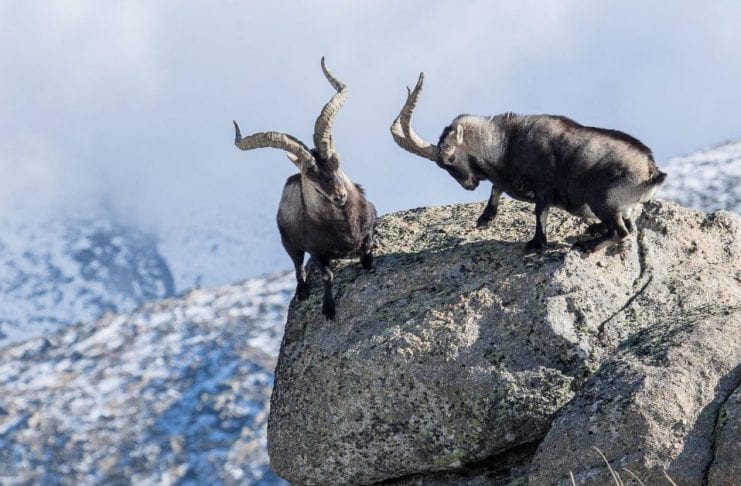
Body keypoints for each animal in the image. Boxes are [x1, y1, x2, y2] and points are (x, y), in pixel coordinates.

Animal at [234, 58, 376, 320]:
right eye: (310, 175)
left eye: (337, 161)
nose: (340, 196)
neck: (345, 225)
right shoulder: (315, 250)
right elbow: (326, 274)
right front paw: (329, 309)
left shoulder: (371, 218)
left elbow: (367, 251)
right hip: (288, 243)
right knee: (298, 267)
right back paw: (302, 291)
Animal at [391, 73, 666, 253]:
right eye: (441, 165)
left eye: (450, 158)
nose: (468, 185)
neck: (505, 144)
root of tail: (650, 171)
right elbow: (496, 188)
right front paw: (485, 218)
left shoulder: (543, 184)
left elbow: (539, 211)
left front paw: (536, 244)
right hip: (618, 207)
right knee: (626, 226)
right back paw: (593, 231)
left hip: (602, 200)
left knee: (622, 232)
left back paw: (588, 245)